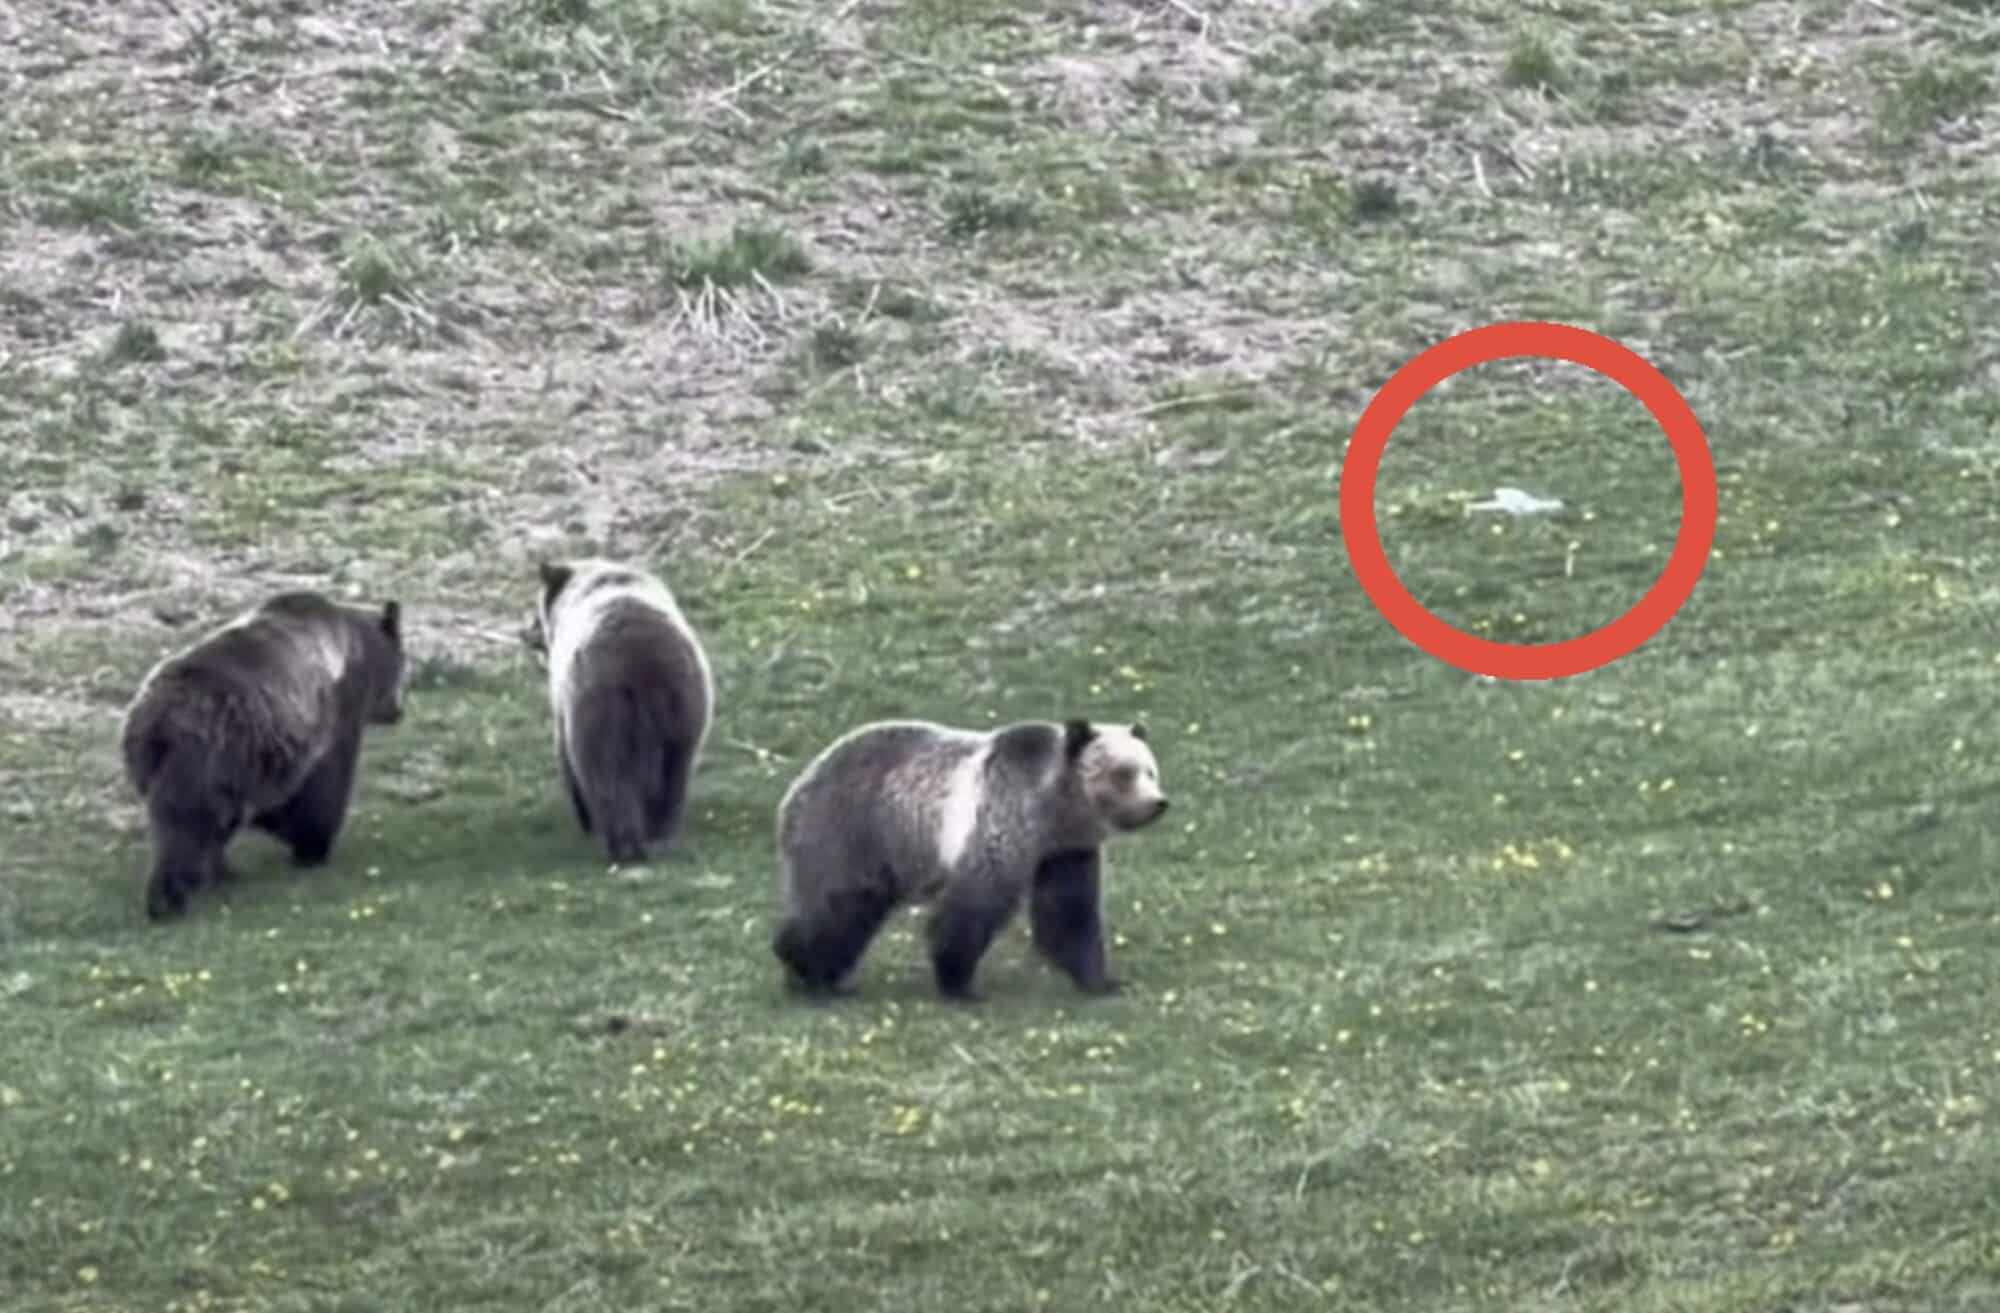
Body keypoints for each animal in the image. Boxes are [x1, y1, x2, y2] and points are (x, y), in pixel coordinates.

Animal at [119, 589, 408, 922]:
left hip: (158, 761)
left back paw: (218, 873)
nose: (400, 711)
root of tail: (159, 718)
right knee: (186, 824)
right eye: (405, 664)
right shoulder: (335, 715)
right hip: (209, 751)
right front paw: (311, 847)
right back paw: (169, 899)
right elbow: (325, 788)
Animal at [522, 556, 713, 865]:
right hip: (683, 711)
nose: (523, 631)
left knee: (608, 776)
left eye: (534, 608)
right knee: (674, 775)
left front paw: (584, 818)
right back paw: (660, 834)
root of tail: (645, 666)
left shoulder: (564, 700)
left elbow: (565, 755)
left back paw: (622, 844)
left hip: (602, 708)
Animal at [770, 717, 1169, 1002]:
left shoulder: (1063, 852)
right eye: (1123, 773)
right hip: (853, 831)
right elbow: (974, 905)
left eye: (1150, 770)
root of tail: (797, 786)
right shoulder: (1002, 819)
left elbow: (1070, 913)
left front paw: (1105, 981)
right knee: (839, 905)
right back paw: (808, 970)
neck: (1056, 809)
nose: (1158, 802)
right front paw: (960, 984)